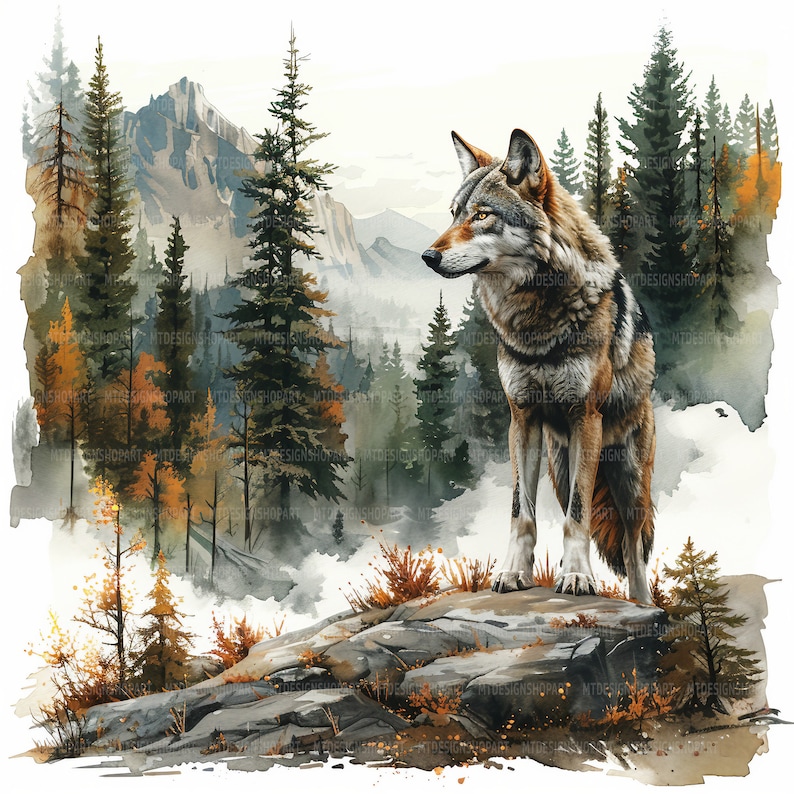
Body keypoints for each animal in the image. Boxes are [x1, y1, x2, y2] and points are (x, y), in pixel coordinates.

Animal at [422, 129, 656, 604]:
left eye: (483, 215)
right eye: (455, 215)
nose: (427, 256)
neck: (537, 322)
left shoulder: (585, 417)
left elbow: (578, 517)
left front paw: (578, 577)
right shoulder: (522, 419)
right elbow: (521, 512)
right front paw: (513, 573)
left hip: (628, 480)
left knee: (632, 547)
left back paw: (642, 603)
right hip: (561, 468)